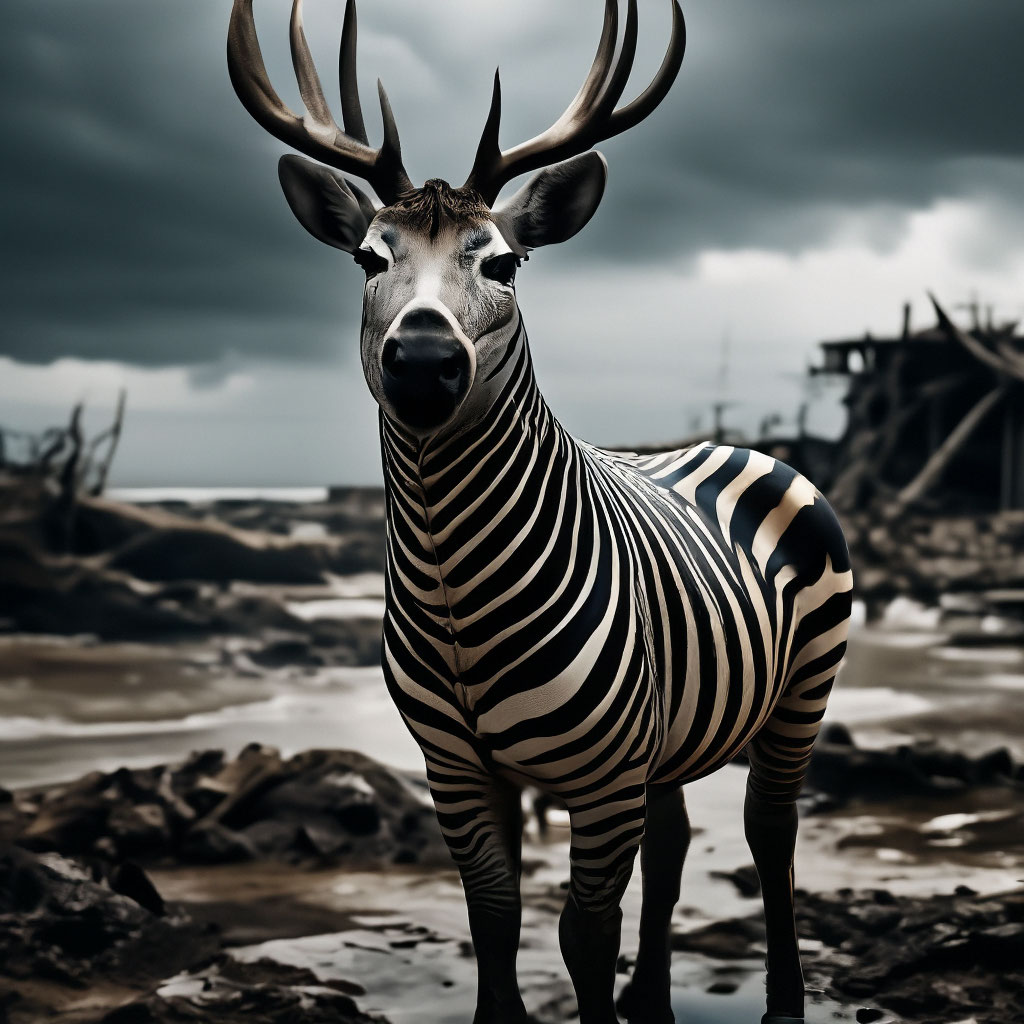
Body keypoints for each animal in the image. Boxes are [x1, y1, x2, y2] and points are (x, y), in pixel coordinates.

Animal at [227, 2, 854, 1022]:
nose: (423, 364)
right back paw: (652, 1002)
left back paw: (783, 1000)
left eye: (507, 265)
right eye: (367, 258)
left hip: (801, 689)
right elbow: (495, 919)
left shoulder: (598, 780)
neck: (454, 582)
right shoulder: (459, 771)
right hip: (663, 744)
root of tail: (738, 447)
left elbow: (583, 934)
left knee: (771, 835)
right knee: (674, 846)